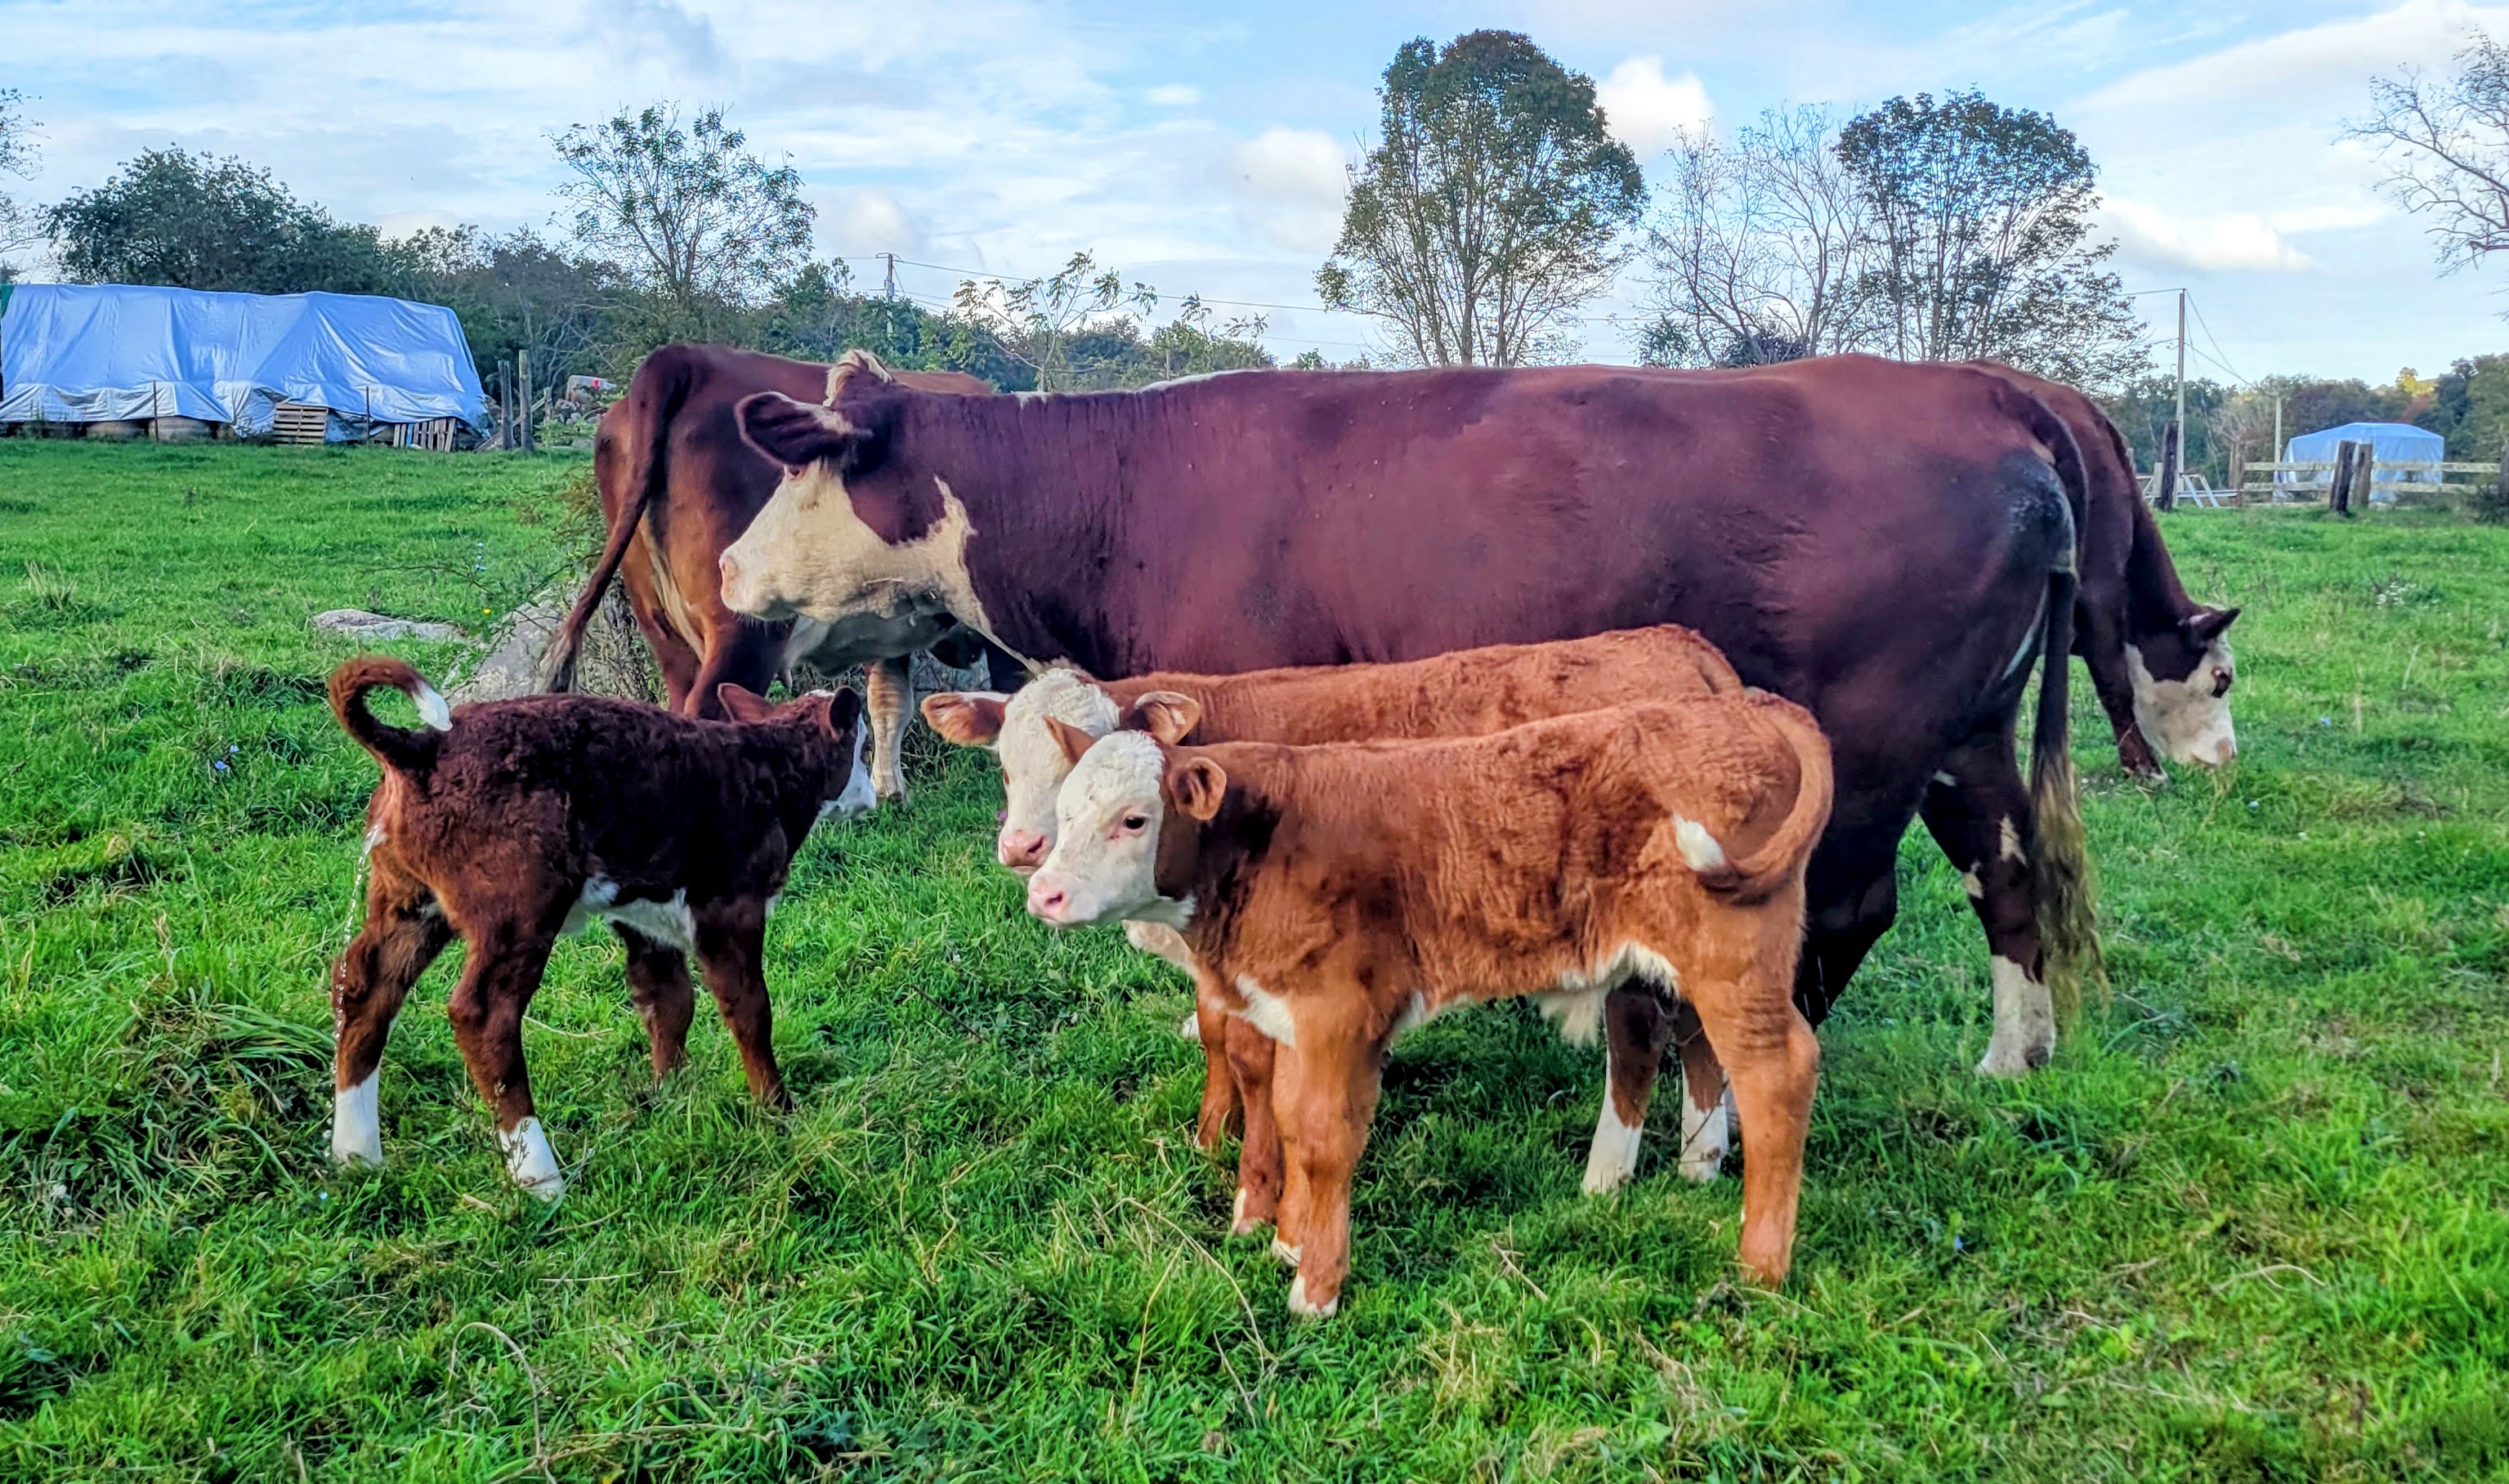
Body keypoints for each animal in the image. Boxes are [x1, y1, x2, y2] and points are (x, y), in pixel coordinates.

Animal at [325, 656, 869, 1199]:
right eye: (864, 746)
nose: (874, 792)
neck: (771, 769)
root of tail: (421, 748)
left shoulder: (645, 914)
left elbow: (670, 1001)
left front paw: (669, 1095)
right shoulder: (731, 906)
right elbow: (750, 1008)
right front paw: (778, 1110)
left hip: (407, 898)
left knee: (366, 985)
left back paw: (357, 1155)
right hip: (518, 903)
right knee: (483, 1014)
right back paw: (541, 1178)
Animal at [716, 351, 2097, 1079]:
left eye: (801, 466)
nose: (723, 569)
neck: (1116, 490)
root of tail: (1975, 397)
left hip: (1866, 742)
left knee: (1851, 905)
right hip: (1966, 734)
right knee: (2004, 874)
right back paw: (2010, 1057)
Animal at [922, 626, 1749, 1228]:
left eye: (1119, 801)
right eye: (1005, 761)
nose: (1025, 850)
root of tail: (1681, 647)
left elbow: (1252, 1058)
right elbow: (1216, 1035)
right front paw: (1209, 1136)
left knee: (1640, 1033)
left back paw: (1606, 1177)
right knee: (1700, 1024)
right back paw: (1700, 1158)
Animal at [1025, 689, 1834, 1315]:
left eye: (1134, 819)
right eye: (1064, 811)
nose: (1044, 892)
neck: (1261, 843)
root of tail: (1745, 705)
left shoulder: (1343, 1012)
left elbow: (1323, 1138)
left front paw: (1316, 1287)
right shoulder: (1287, 1010)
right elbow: (1284, 1116)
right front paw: (1286, 1240)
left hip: (1735, 951)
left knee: (1776, 1073)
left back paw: (1759, 1270)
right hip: (1674, 959)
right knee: (1674, 1039)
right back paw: (1667, 1172)